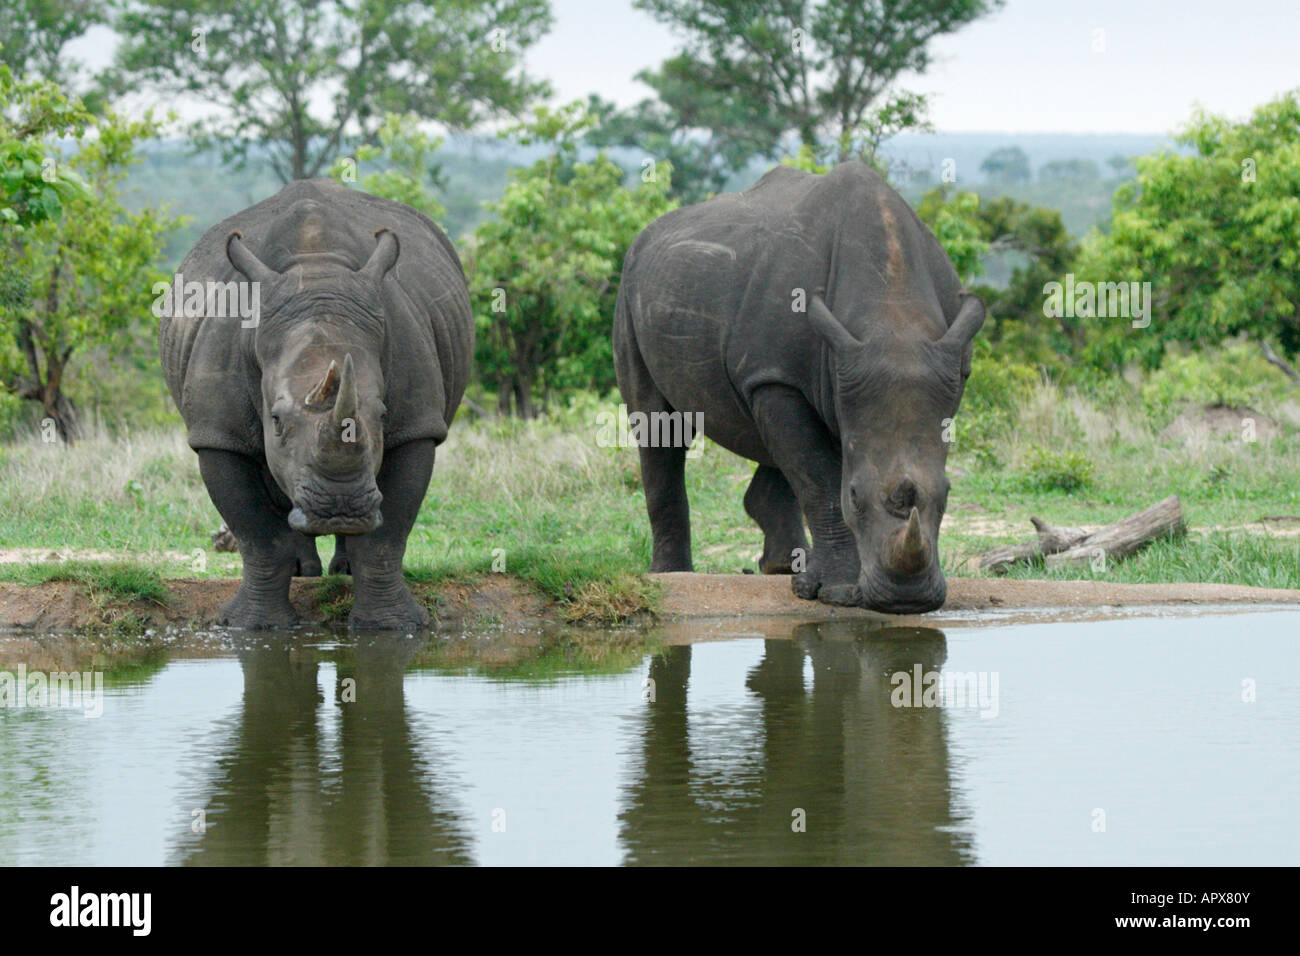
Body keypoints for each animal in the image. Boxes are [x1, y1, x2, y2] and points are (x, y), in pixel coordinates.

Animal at [160, 179, 473, 628]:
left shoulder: (417, 426)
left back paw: (339, 569)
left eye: (383, 415)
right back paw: (304, 572)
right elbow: (256, 534)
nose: (341, 508)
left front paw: (390, 627)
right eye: (275, 419)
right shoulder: (218, 434)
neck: (316, 268)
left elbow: (386, 538)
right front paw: (256, 627)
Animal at [614, 162, 984, 614]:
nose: (906, 601)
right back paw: (672, 575)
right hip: (630, 291)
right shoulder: (776, 375)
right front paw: (840, 593)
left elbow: (814, 461)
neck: (894, 314)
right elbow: (819, 479)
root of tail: (645, 237)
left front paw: (828, 587)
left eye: (948, 494)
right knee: (658, 426)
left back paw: (784, 568)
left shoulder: (942, 367)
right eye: (854, 497)